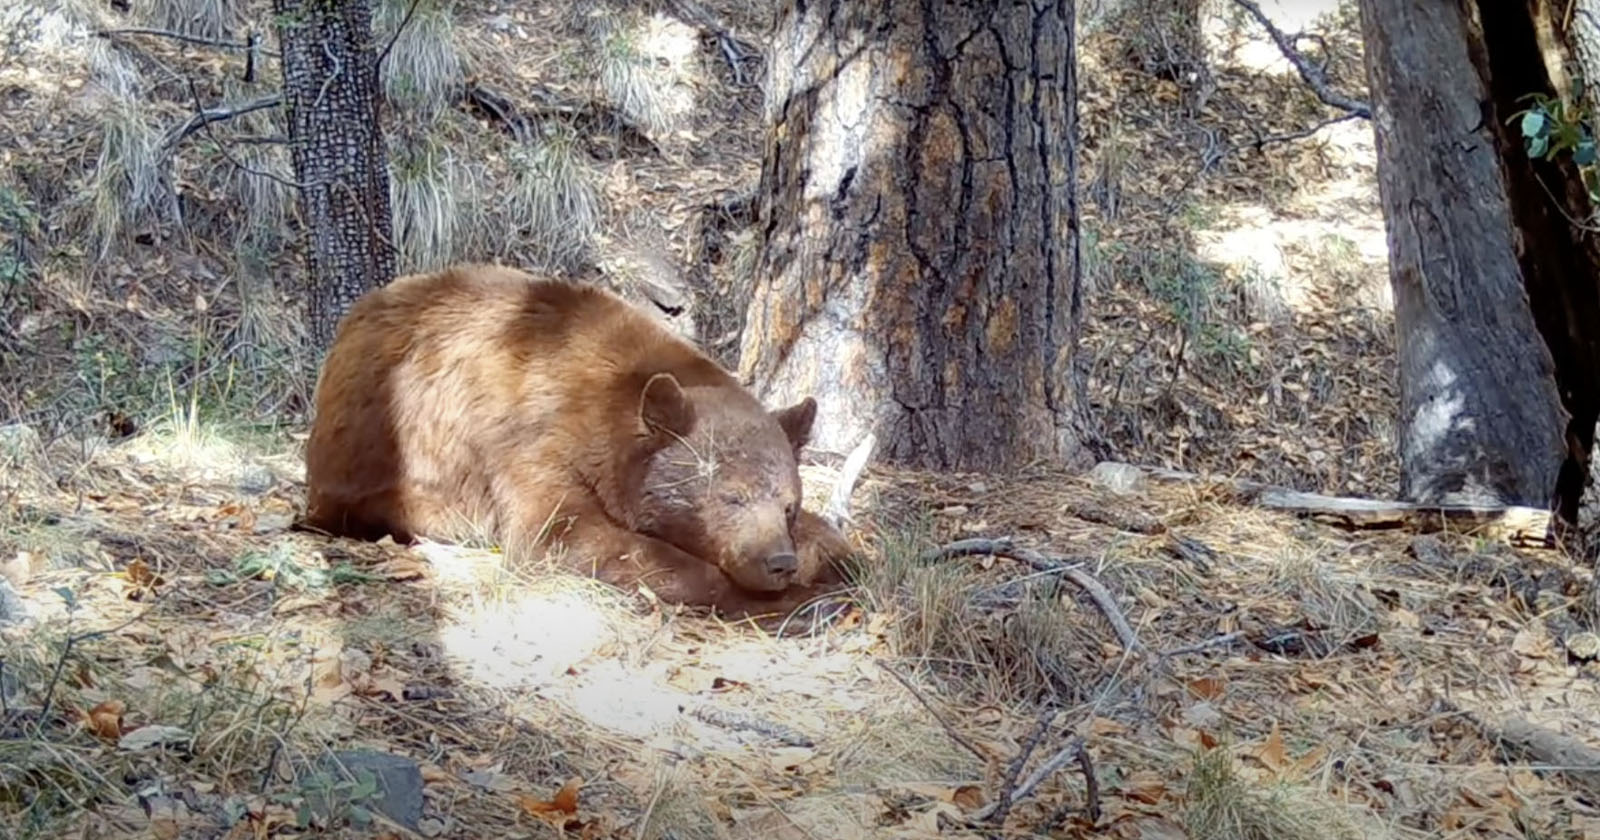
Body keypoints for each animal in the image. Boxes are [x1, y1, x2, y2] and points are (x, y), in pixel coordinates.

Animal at [301, 262, 856, 624]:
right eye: (731, 497)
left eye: (788, 505)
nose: (778, 562)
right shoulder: (531, 437)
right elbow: (561, 534)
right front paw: (795, 602)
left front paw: (834, 554)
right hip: (377, 459)